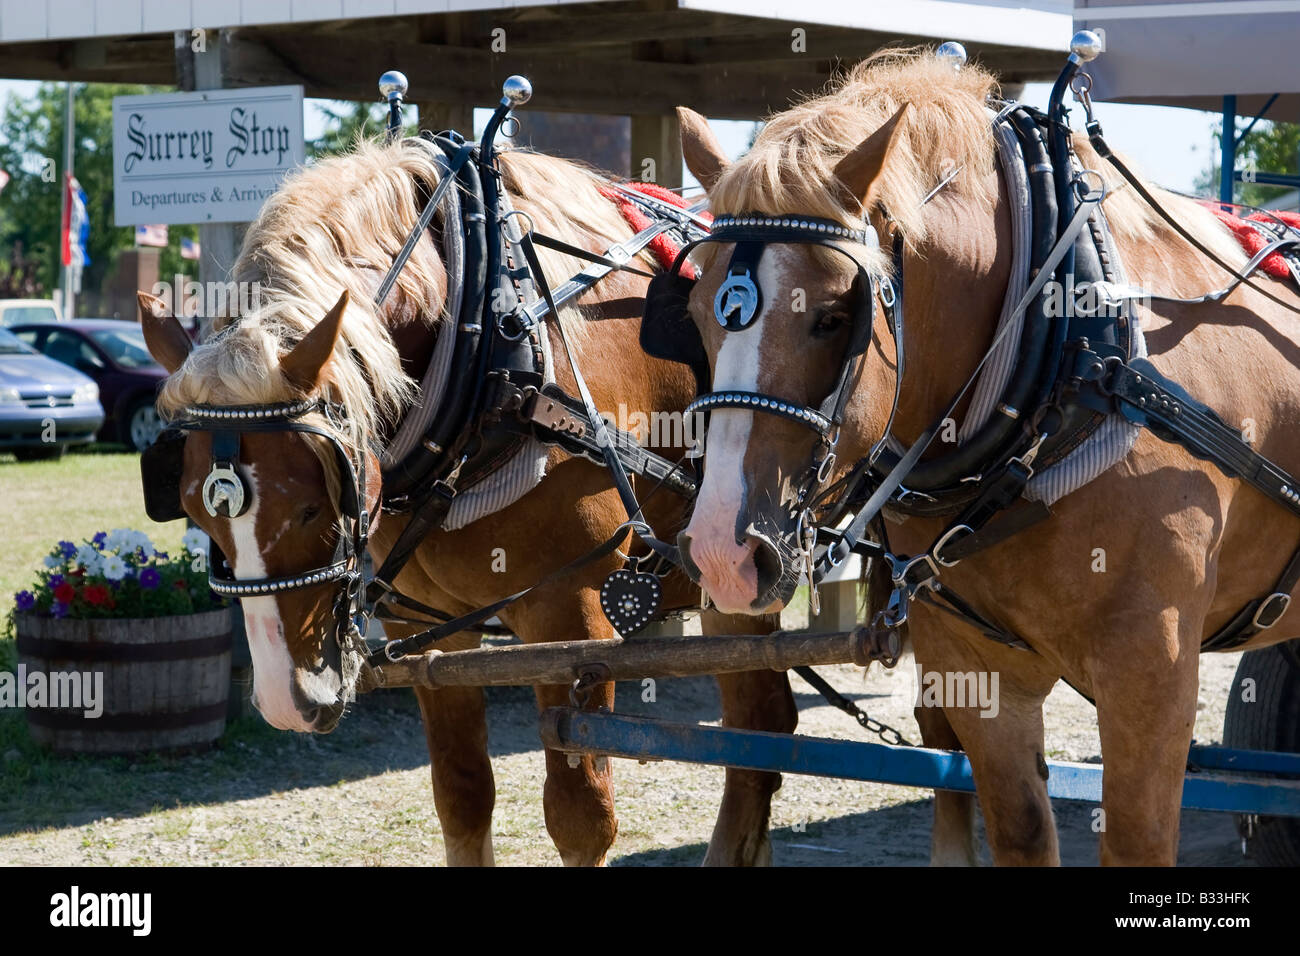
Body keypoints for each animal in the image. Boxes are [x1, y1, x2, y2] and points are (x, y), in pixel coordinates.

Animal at [136, 138, 794, 866]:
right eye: (194, 511)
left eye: (312, 507)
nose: (287, 701)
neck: (492, 347)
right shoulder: (429, 632)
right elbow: (461, 795)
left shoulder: (574, 622)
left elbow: (581, 818)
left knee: (759, 730)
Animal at [667, 48, 1300, 865]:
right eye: (693, 310)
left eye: (835, 316)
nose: (722, 553)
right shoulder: (976, 670)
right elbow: (1022, 830)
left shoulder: (1153, 675)